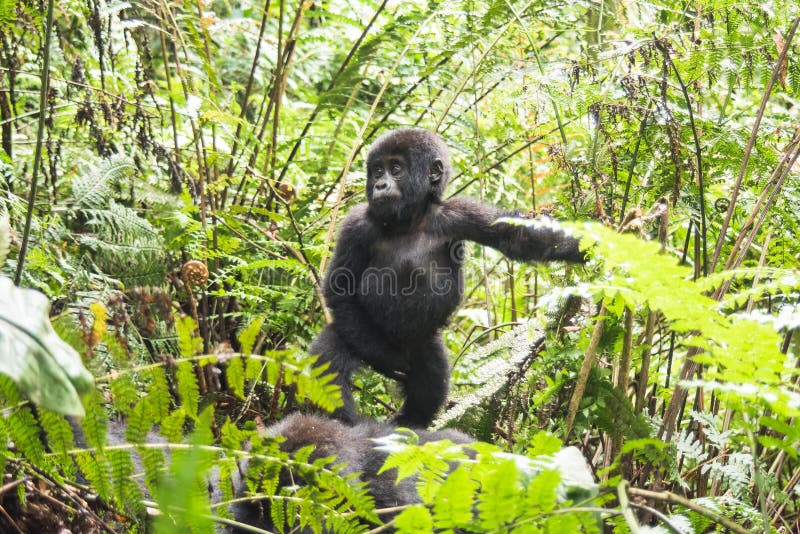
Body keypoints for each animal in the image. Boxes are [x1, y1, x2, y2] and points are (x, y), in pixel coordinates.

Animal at [310, 128, 586, 427]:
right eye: (377, 170)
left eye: (395, 169)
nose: (379, 185)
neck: (410, 219)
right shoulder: (356, 225)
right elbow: (340, 288)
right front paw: (386, 359)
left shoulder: (458, 213)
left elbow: (517, 236)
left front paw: (585, 247)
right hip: (358, 331)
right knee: (330, 358)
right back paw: (342, 421)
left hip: (424, 342)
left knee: (431, 381)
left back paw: (407, 423)